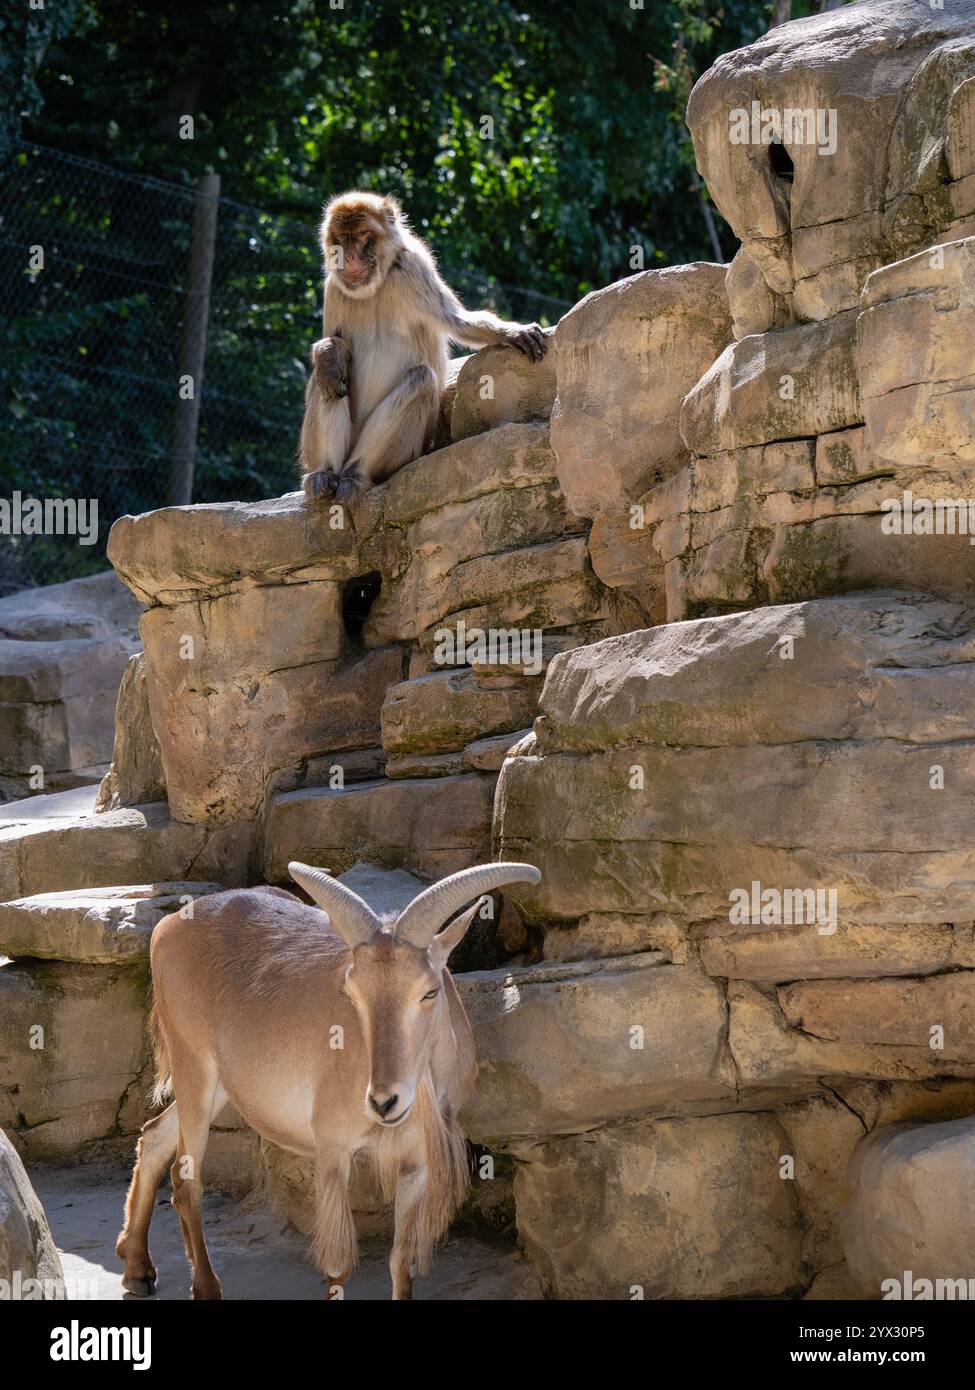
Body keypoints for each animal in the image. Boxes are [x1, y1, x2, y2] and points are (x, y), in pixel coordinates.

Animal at [116, 859, 540, 1300]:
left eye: (429, 992)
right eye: (352, 993)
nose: (383, 1101)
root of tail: (167, 927)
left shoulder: (416, 1161)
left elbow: (401, 1261)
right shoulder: (332, 1147)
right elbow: (338, 1266)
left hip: (218, 1086)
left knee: (154, 1134)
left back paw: (137, 1267)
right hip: (194, 1067)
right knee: (187, 1180)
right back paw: (204, 1286)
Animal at [298, 191, 549, 502]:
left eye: (362, 235)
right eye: (342, 238)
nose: (349, 256)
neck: (377, 285)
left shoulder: (413, 268)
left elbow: (460, 322)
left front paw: (512, 332)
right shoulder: (333, 286)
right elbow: (335, 342)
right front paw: (329, 352)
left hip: (405, 452)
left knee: (422, 379)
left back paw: (356, 473)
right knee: (324, 379)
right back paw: (325, 472)